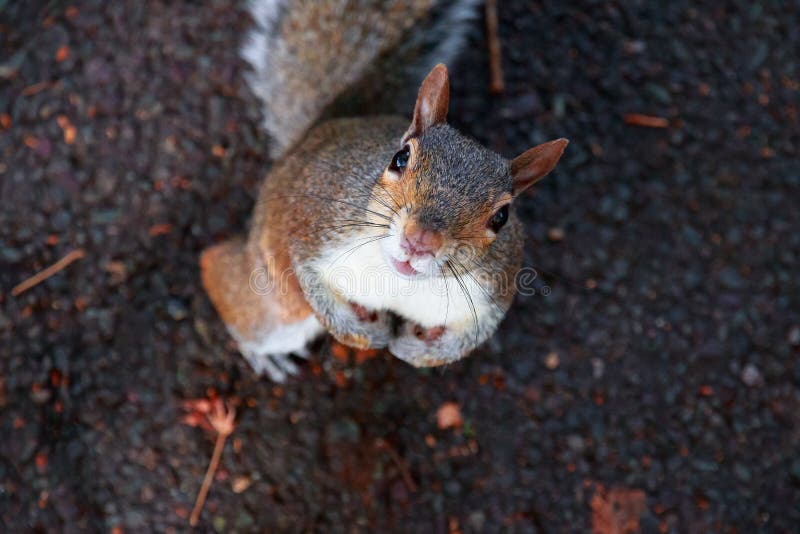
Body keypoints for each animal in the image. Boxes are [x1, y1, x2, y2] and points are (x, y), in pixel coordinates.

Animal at [202, 0, 568, 382]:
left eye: (501, 216)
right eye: (400, 158)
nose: (420, 241)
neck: (399, 280)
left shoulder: (492, 289)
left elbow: (473, 335)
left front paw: (417, 350)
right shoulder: (317, 228)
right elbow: (312, 283)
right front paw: (365, 333)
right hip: (276, 301)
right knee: (224, 277)